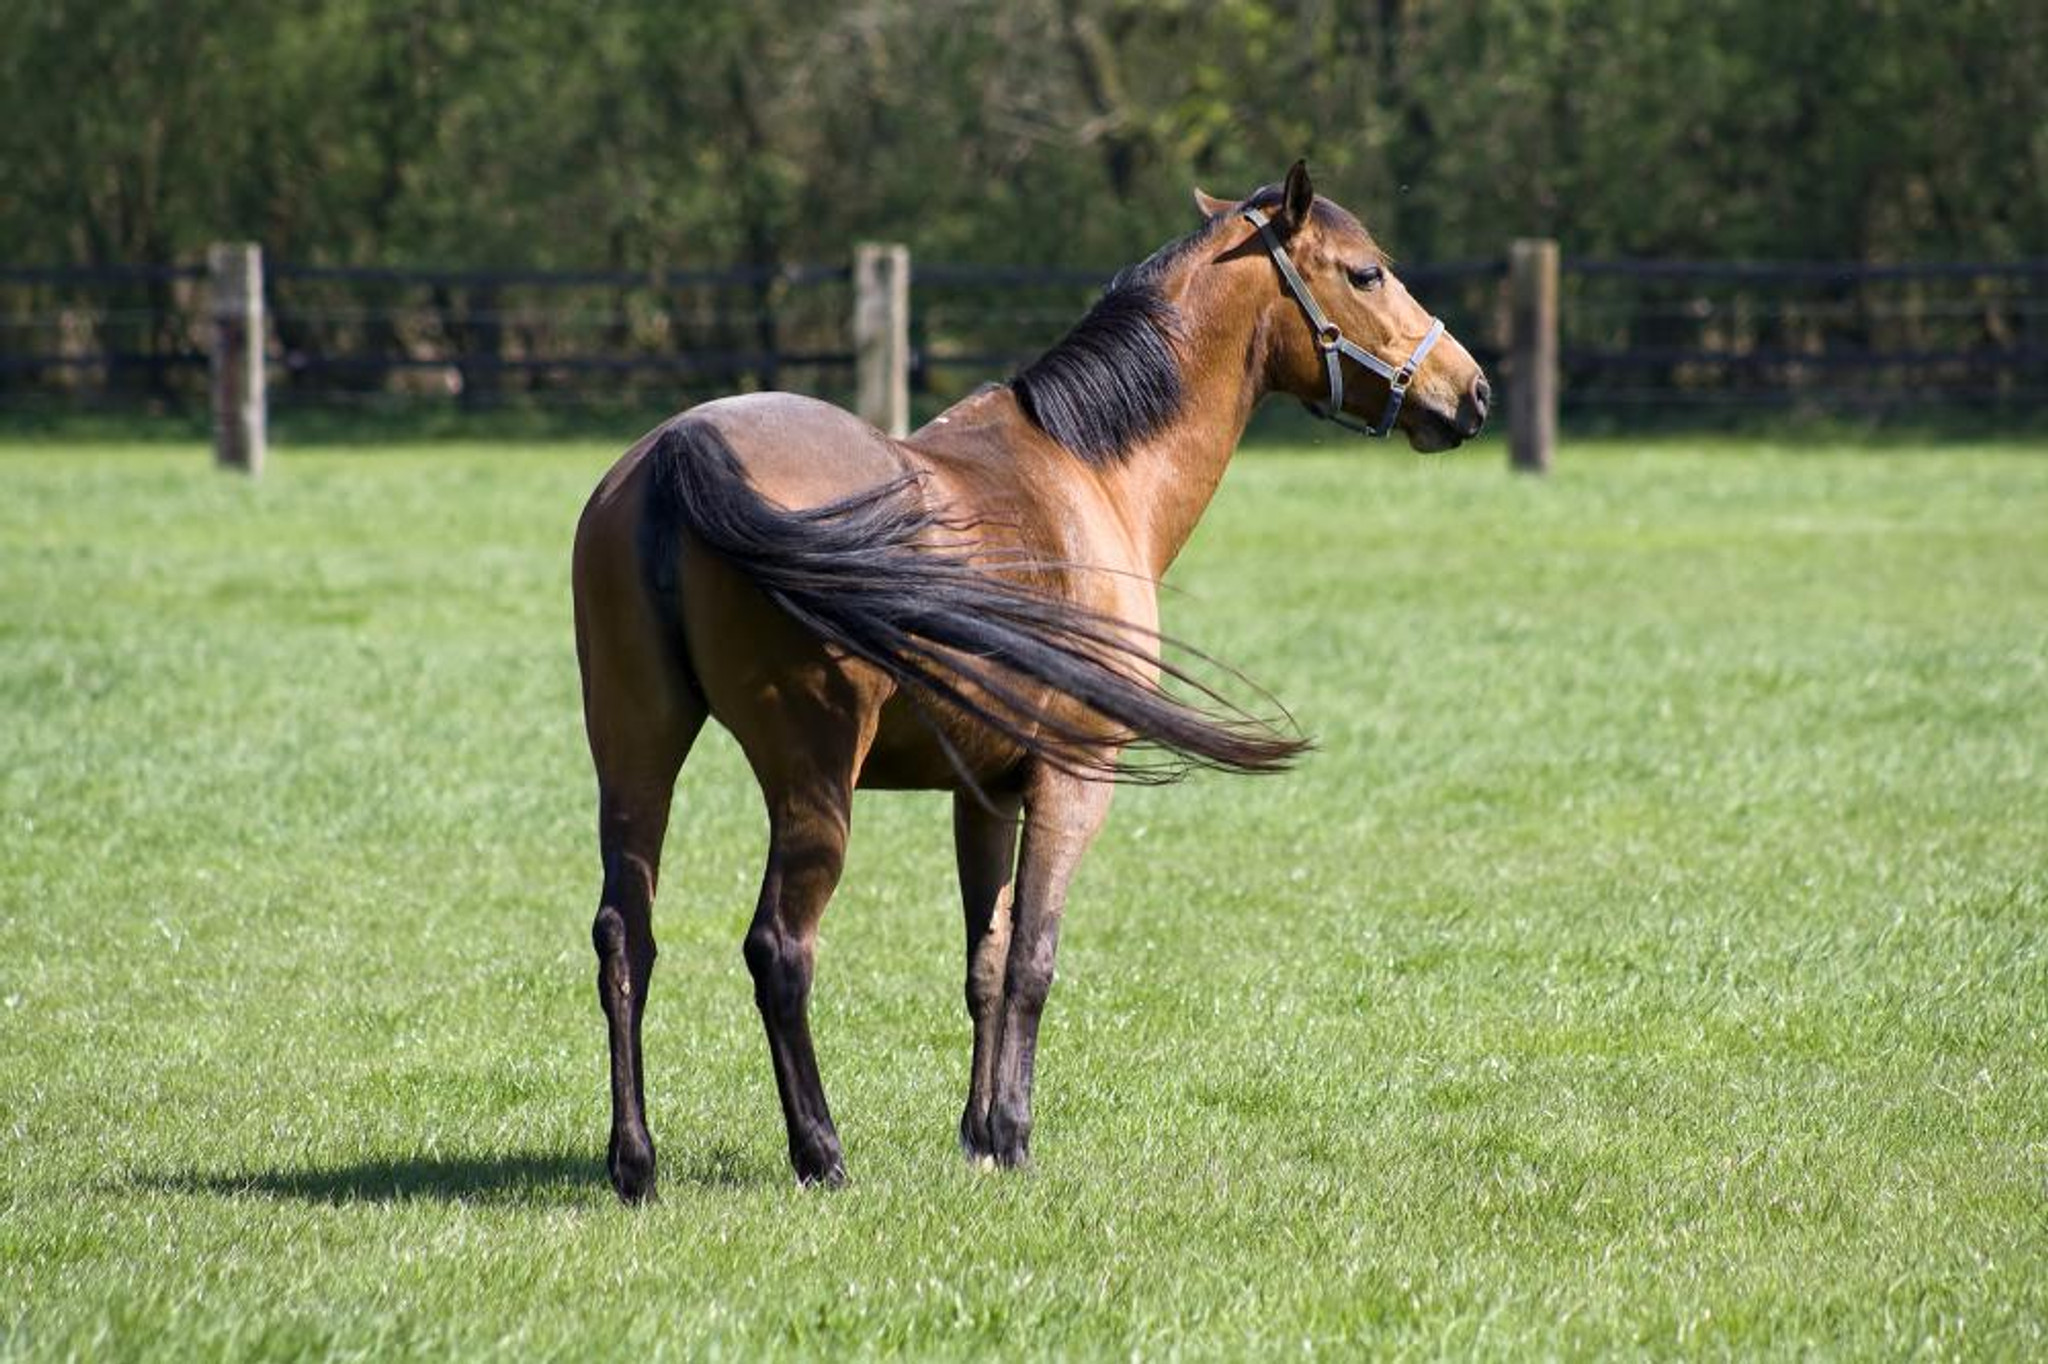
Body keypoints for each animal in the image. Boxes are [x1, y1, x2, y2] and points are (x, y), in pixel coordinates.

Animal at [571, 161, 1489, 1200]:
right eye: (1367, 273)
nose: (1471, 391)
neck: (1089, 472)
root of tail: (680, 452)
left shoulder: (985, 795)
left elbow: (985, 960)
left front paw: (975, 1133)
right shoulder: (1070, 785)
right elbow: (1034, 962)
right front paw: (1011, 1135)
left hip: (637, 754)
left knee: (626, 937)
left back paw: (635, 1162)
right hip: (812, 783)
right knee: (779, 949)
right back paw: (820, 1152)